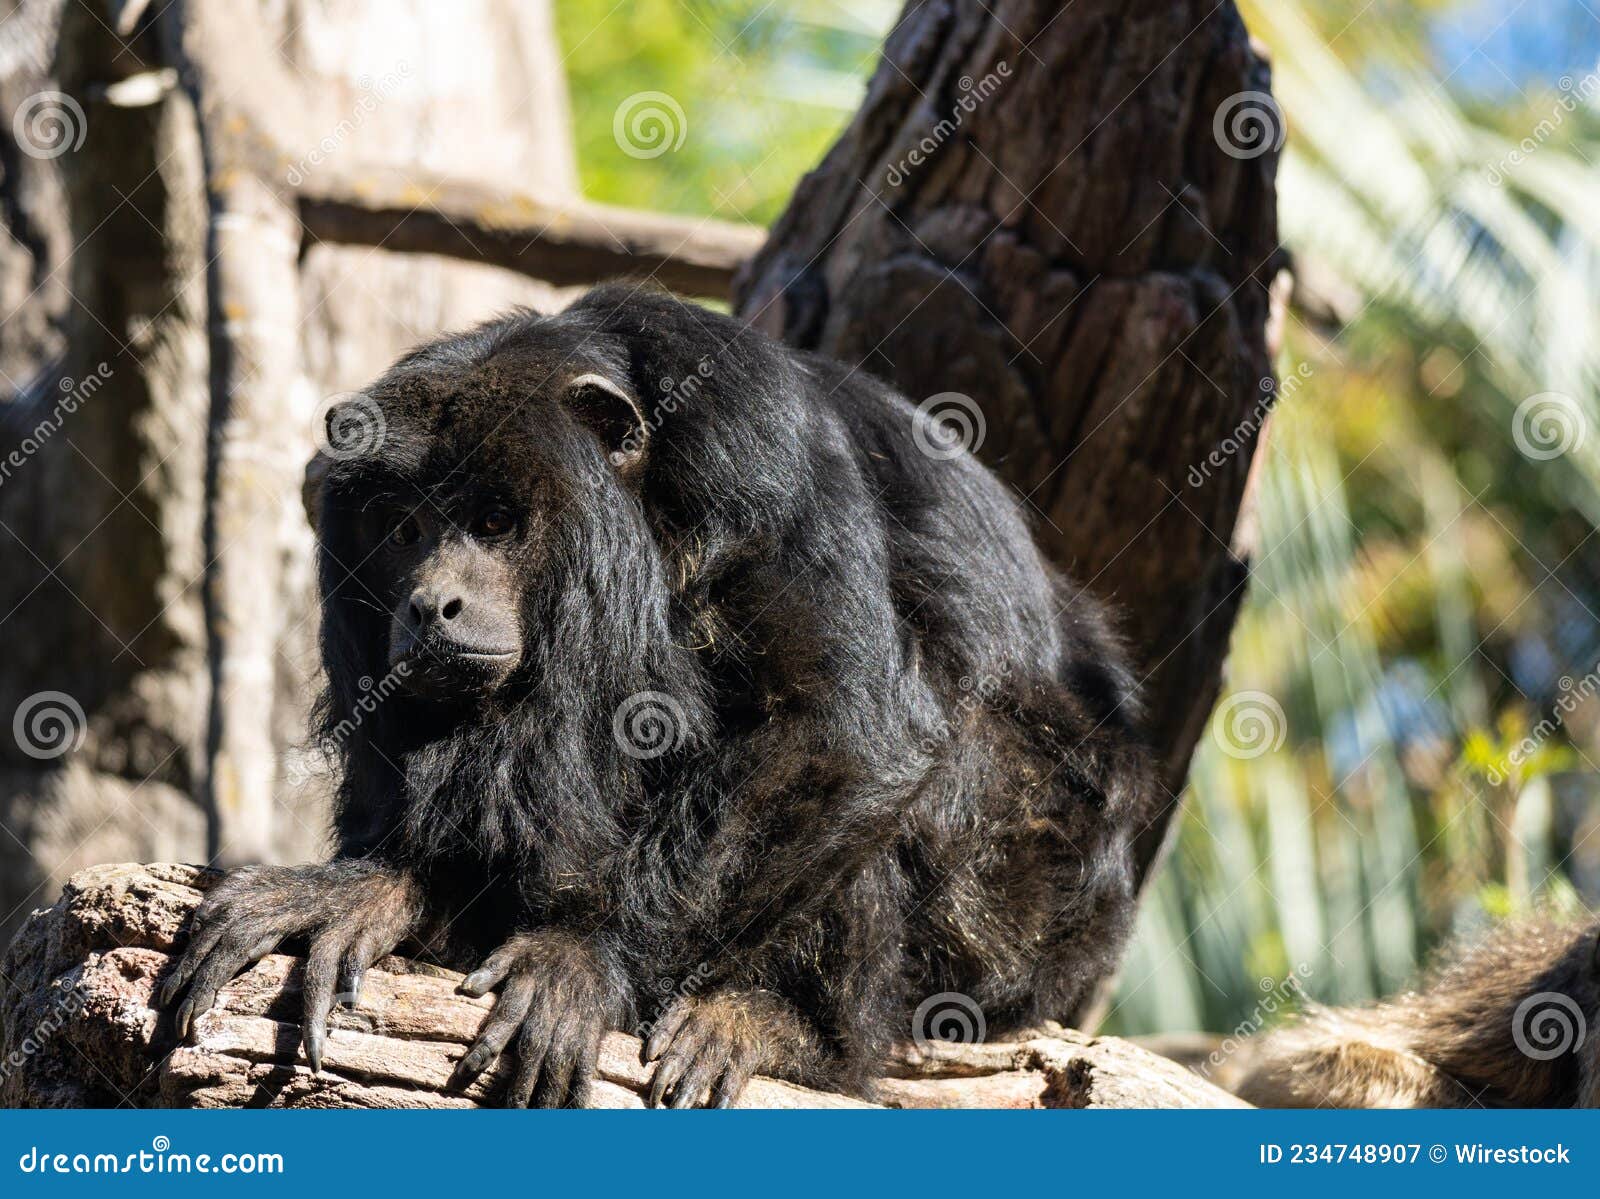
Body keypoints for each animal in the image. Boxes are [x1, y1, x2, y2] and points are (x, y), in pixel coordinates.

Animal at [159, 283, 1156, 1108]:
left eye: (494, 519)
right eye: (403, 528)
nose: (429, 601)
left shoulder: (754, 435)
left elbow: (848, 730)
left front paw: (588, 953)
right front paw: (380, 888)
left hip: (1024, 910)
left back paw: (783, 1027)